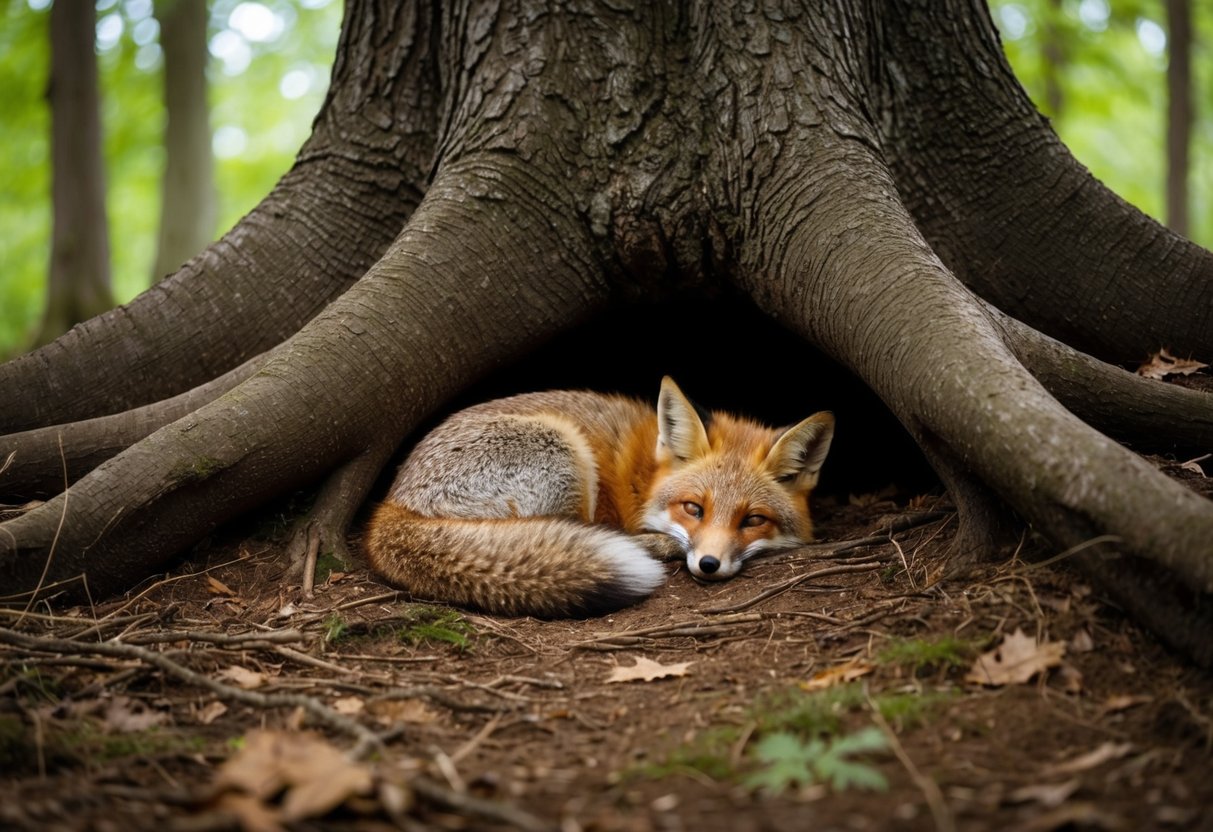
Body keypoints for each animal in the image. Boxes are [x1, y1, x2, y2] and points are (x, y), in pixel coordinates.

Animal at [364, 377, 834, 618]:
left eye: (752, 520)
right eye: (694, 509)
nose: (708, 565)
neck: (646, 477)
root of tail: (391, 504)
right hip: (564, 452)